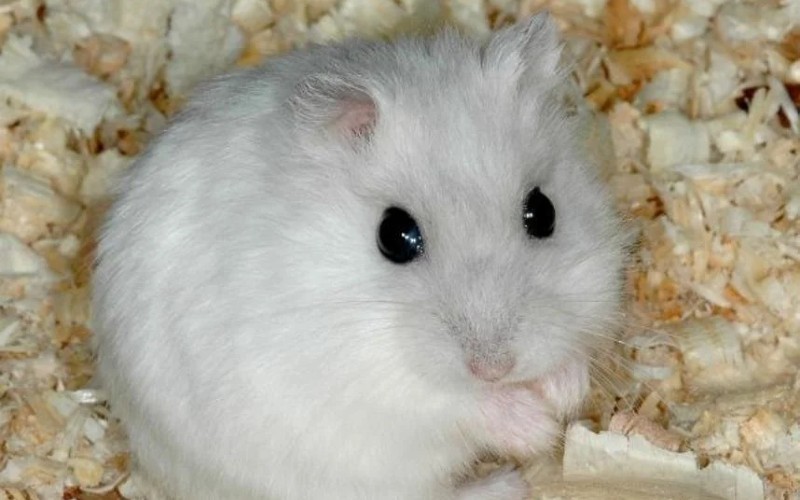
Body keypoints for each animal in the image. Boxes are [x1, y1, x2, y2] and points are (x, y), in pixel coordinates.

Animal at [92, 13, 628, 500]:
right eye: (394, 236)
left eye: (543, 212)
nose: (493, 369)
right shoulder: (362, 379)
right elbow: (449, 404)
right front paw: (540, 428)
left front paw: (566, 391)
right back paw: (507, 484)